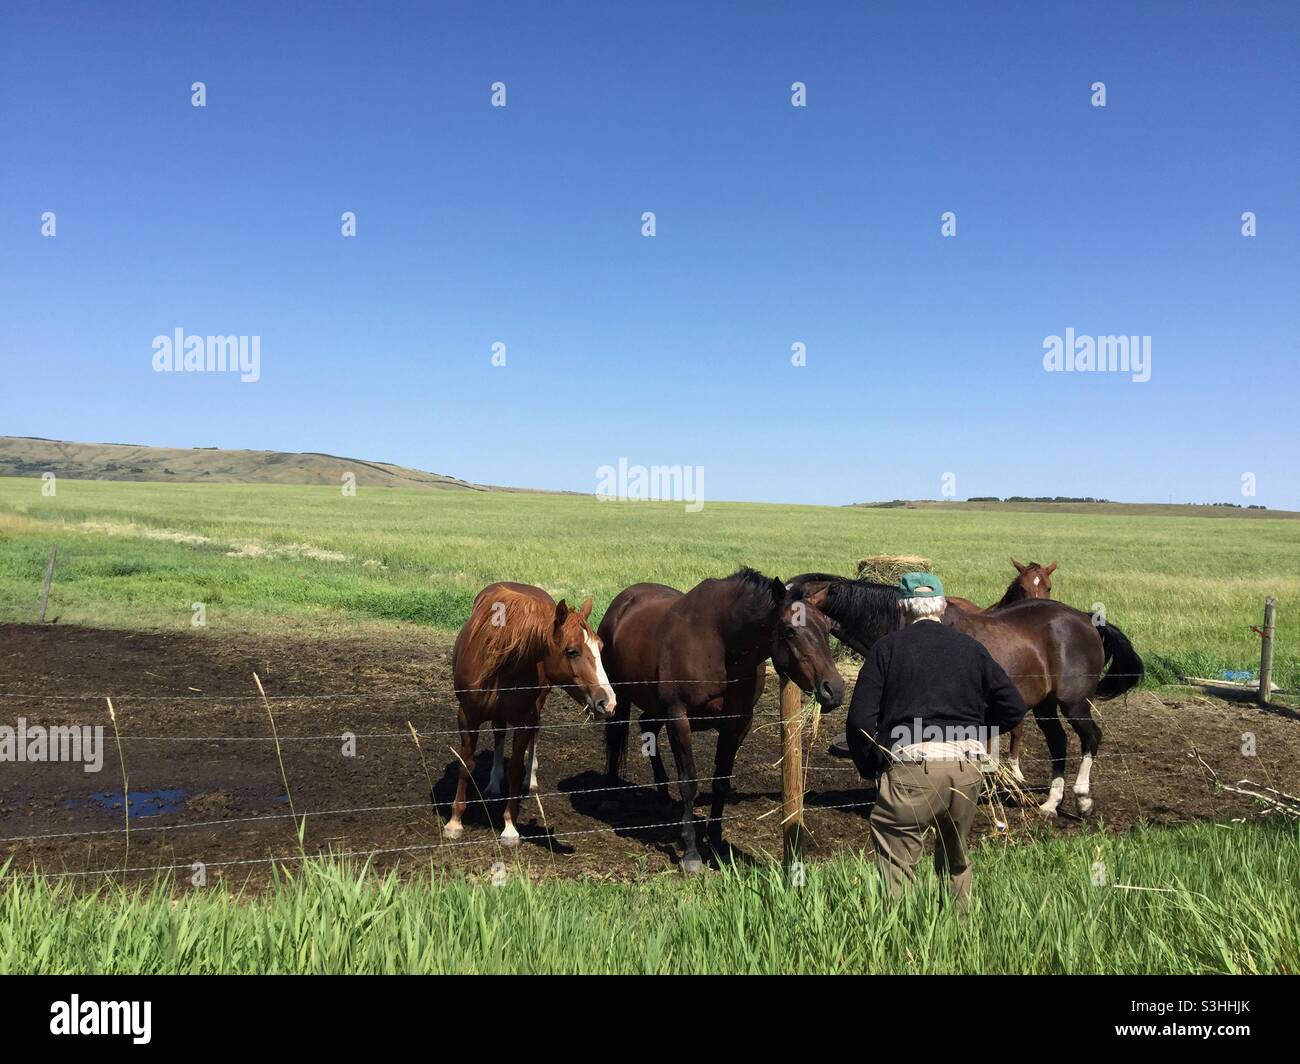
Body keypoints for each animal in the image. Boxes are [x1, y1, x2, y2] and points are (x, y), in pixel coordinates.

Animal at [443, 582, 615, 846]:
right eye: (572, 651)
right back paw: (494, 782)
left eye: (601, 647)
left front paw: (510, 827)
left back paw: (530, 779)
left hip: (537, 706)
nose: (608, 702)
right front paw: (454, 821)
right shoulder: (467, 715)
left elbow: (515, 768)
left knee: (535, 732)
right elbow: (466, 763)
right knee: (499, 733)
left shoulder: (524, 719)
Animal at [599, 568, 845, 873]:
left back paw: (664, 797)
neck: (720, 645)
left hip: (656, 706)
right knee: (615, 735)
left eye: (827, 628)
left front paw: (716, 844)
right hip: (619, 693)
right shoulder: (679, 717)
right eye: (789, 630)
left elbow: (721, 783)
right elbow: (689, 782)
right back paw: (610, 791)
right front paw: (691, 853)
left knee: (647, 727)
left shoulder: (737, 724)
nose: (834, 689)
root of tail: (621, 602)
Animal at [787, 572, 1142, 816]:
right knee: (1058, 743)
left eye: (797, 624)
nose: (828, 689)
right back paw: (1051, 803)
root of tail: (1087, 620)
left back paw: (1081, 799)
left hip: (1073, 703)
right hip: (1045, 705)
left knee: (1091, 738)